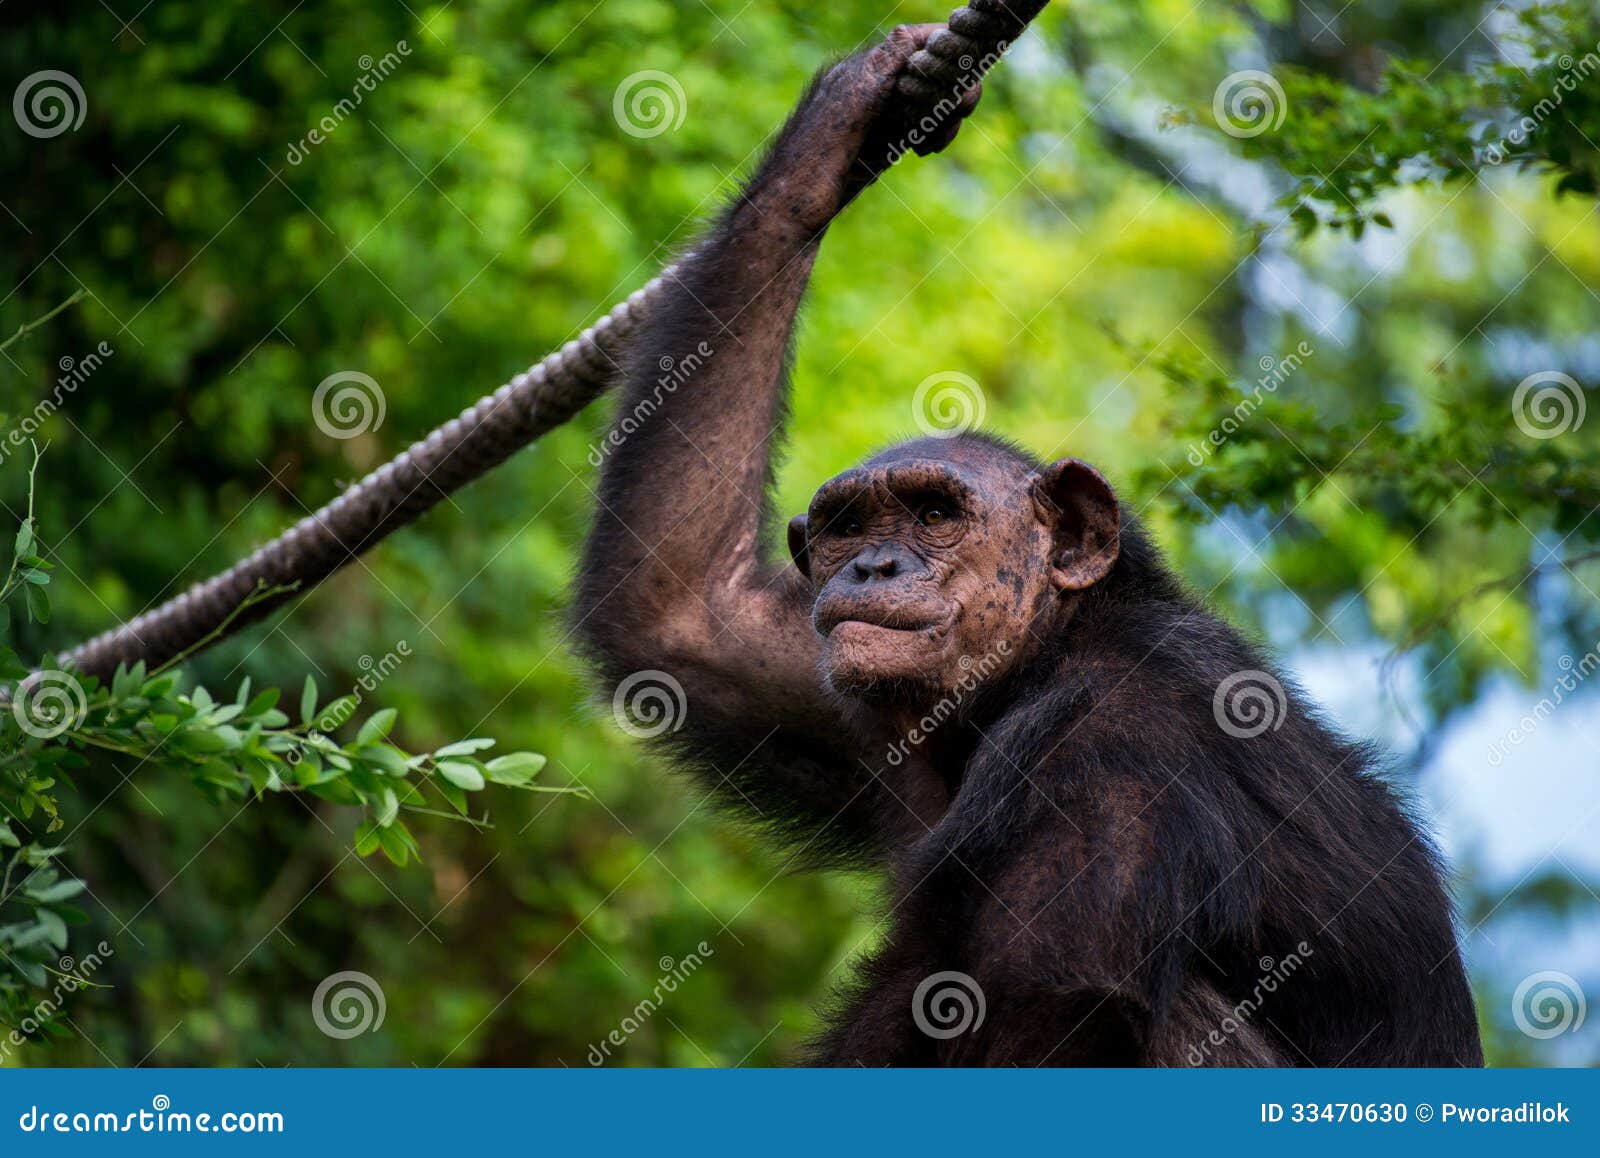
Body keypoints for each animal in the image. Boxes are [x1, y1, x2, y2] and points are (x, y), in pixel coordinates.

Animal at [573, 25, 1483, 1066]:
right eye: (848, 527)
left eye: (934, 514)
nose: (874, 566)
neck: (1038, 662)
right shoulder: (848, 697)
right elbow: (683, 615)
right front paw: (842, 121)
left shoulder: (1120, 761)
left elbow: (1055, 1009)